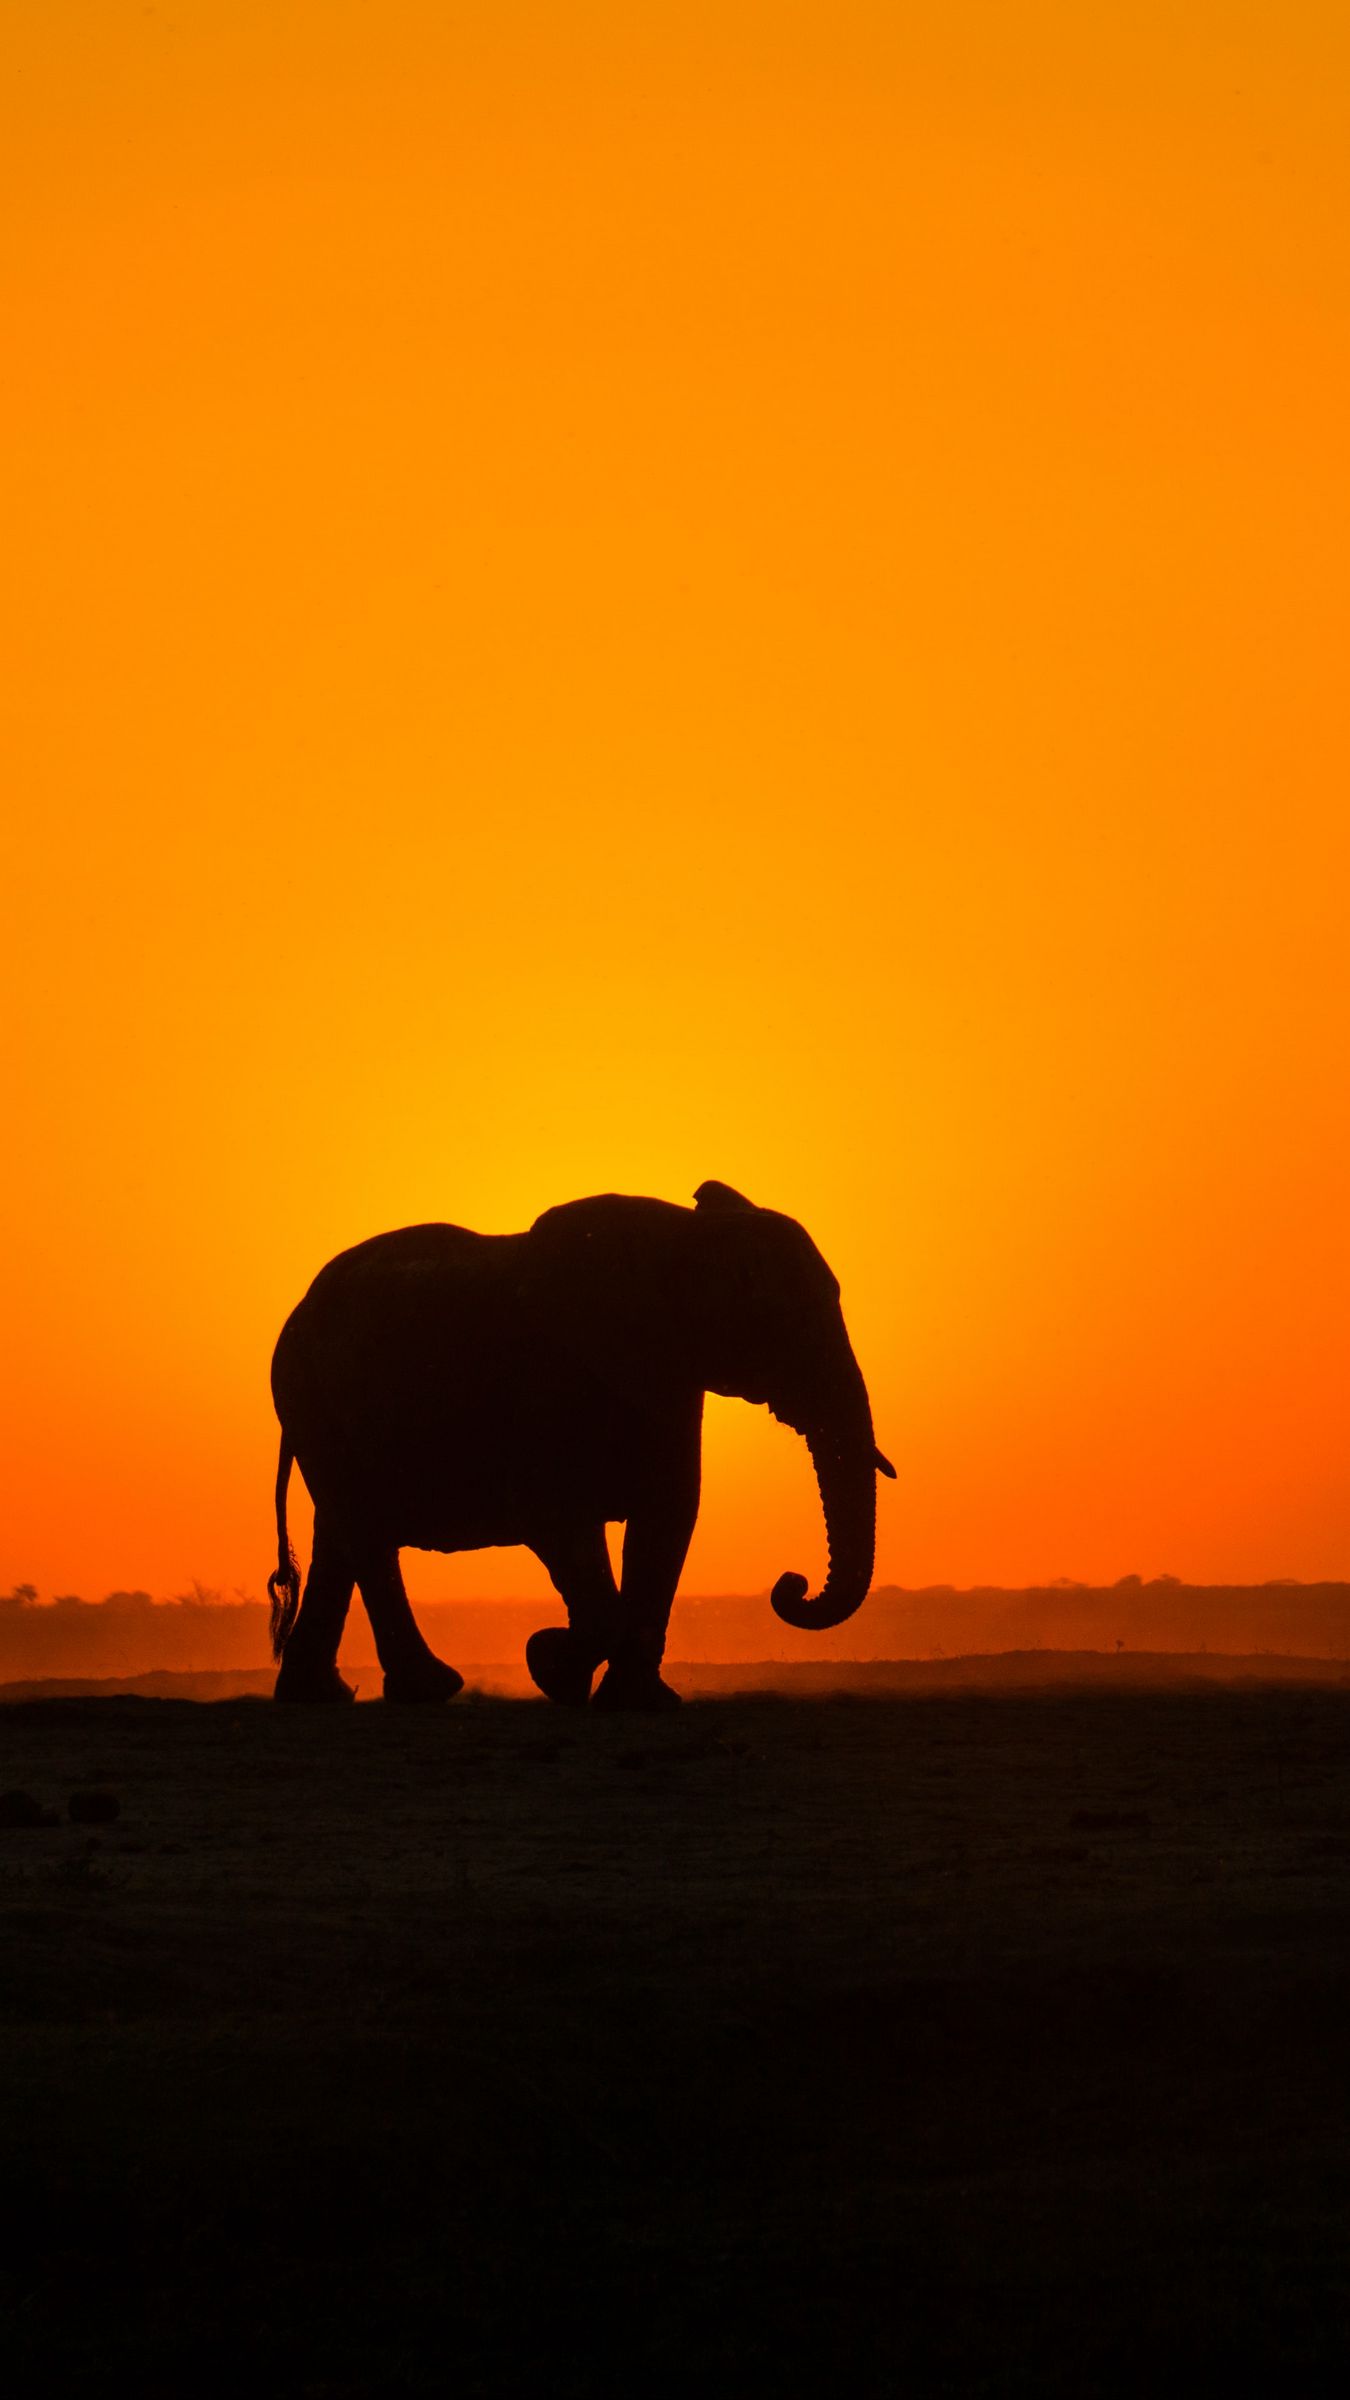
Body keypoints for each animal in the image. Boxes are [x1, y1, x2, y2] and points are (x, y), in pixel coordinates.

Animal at [265, 1181, 894, 1708]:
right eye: (781, 1318)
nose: (791, 1584)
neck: (683, 1238)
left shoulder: (669, 1378)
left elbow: (667, 1518)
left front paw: (638, 1703)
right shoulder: (550, 1380)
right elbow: (559, 1519)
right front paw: (551, 1664)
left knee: (340, 1537)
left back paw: (320, 1697)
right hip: (307, 1395)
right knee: (365, 1534)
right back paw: (428, 1690)